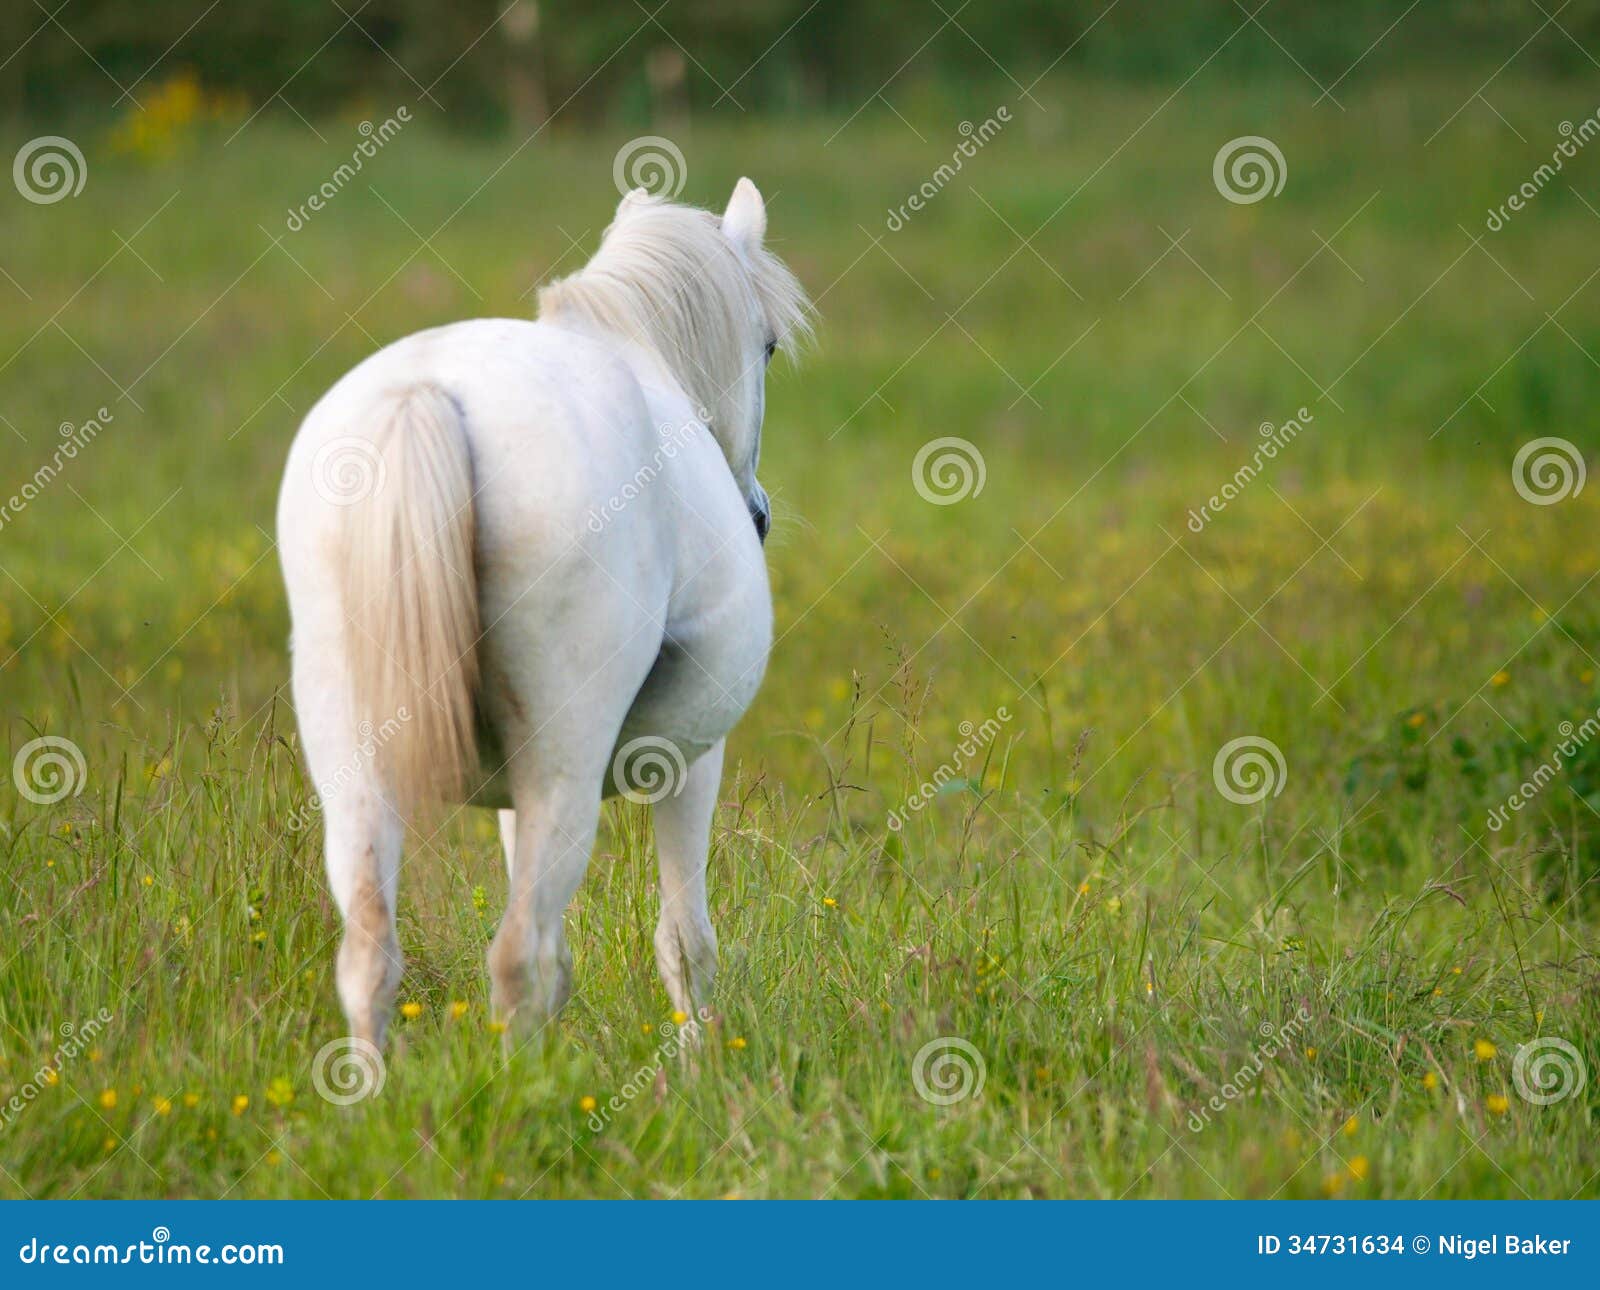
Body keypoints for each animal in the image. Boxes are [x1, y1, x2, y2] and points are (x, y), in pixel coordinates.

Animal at [276, 179, 810, 1047]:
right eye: (764, 346)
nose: (757, 515)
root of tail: (430, 394)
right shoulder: (692, 758)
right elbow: (685, 941)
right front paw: (698, 1059)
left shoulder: (510, 798)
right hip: (567, 757)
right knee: (517, 957)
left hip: (352, 756)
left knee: (370, 956)